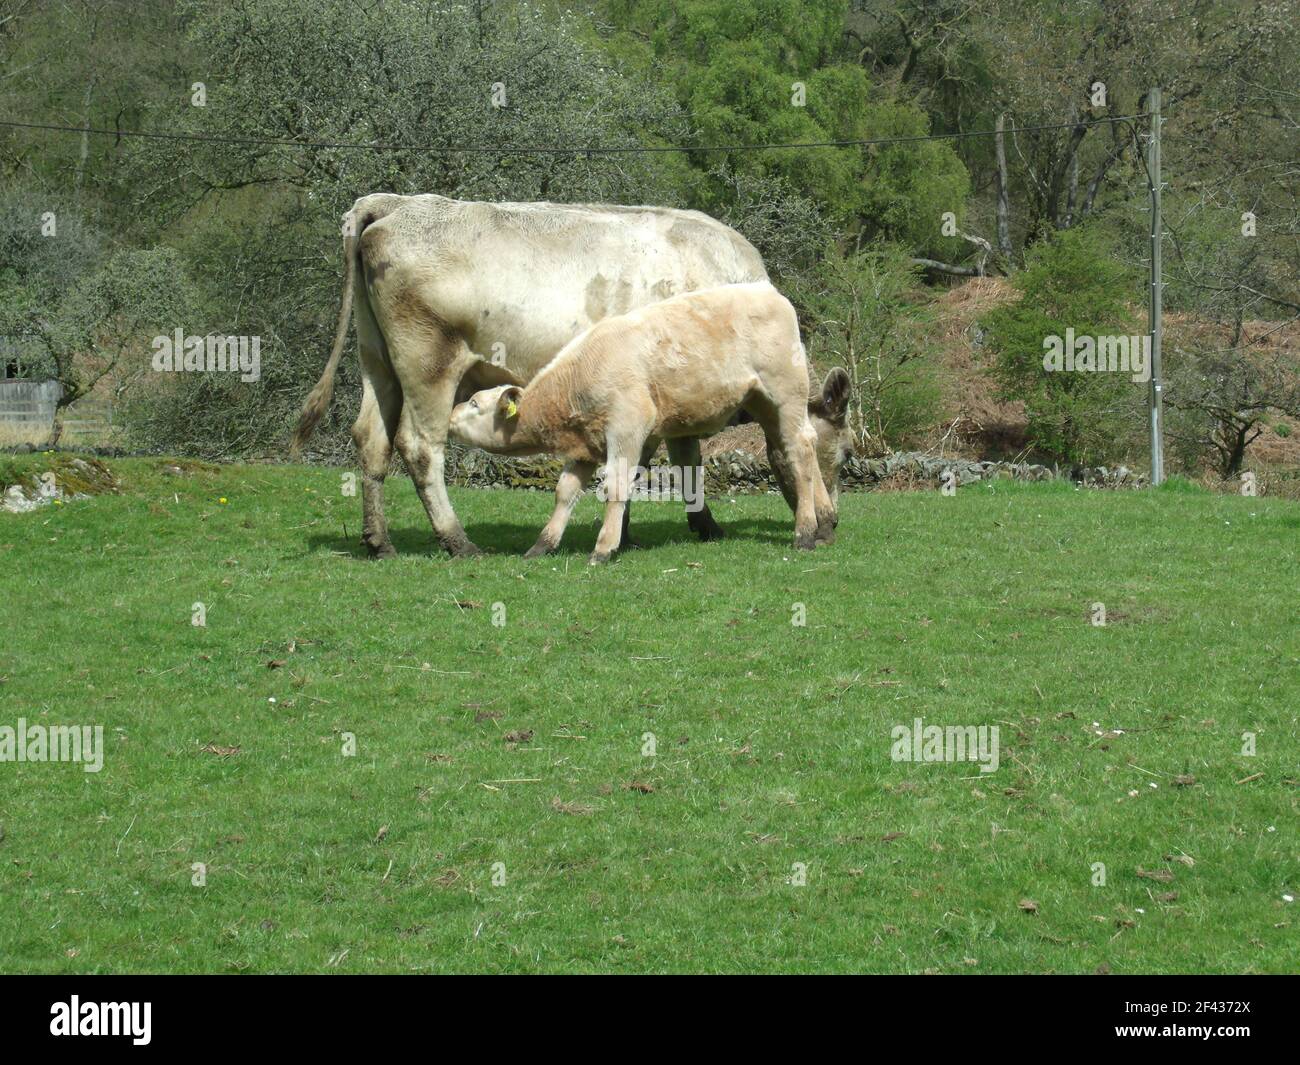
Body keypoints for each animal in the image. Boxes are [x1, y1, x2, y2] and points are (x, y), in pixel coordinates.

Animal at [291, 194, 773, 557]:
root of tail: (397, 202)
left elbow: (665, 458)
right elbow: (664, 459)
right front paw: (684, 528)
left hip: (377, 361)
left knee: (371, 439)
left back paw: (379, 542)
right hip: (428, 363)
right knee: (420, 446)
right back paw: (458, 541)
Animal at [448, 282, 840, 564]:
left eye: (474, 402)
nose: (449, 417)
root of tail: (769, 292)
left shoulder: (627, 428)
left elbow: (616, 487)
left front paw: (604, 549)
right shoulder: (586, 445)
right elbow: (565, 492)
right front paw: (542, 545)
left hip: (785, 394)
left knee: (799, 449)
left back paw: (805, 532)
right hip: (764, 405)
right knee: (801, 449)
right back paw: (825, 523)